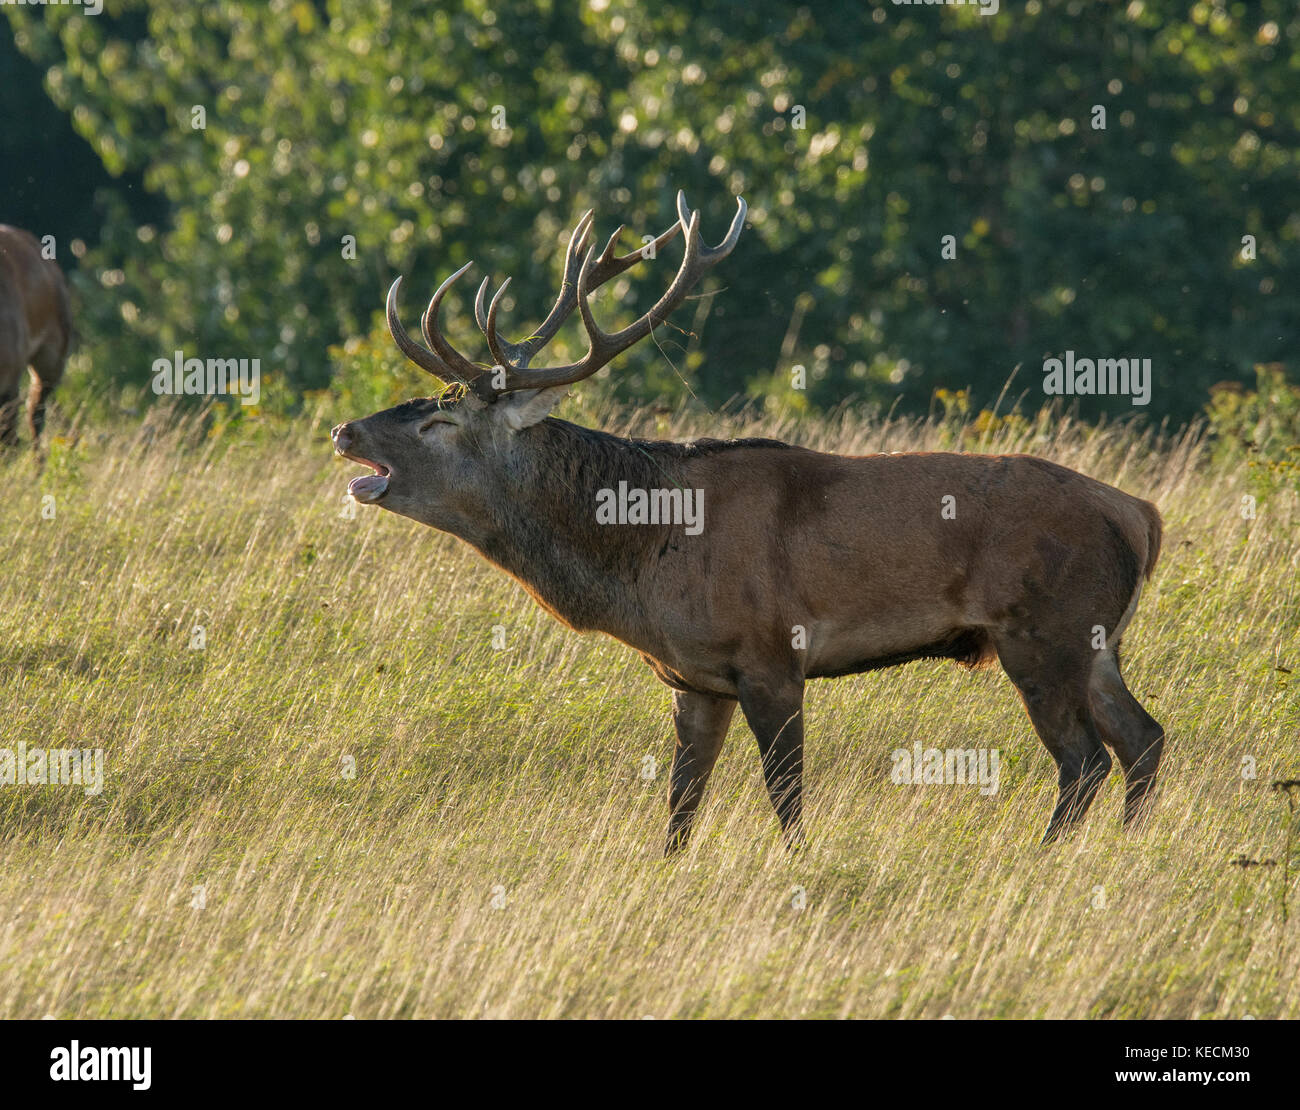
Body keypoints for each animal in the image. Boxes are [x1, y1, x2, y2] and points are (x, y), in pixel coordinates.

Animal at [332, 191, 1165, 855]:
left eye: (442, 420)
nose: (346, 430)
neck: (645, 557)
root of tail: (1141, 513)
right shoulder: (695, 680)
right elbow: (679, 805)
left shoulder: (771, 655)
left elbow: (785, 795)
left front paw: (797, 870)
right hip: (1098, 642)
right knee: (1144, 740)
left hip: (1043, 630)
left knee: (1084, 760)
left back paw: (1044, 857)